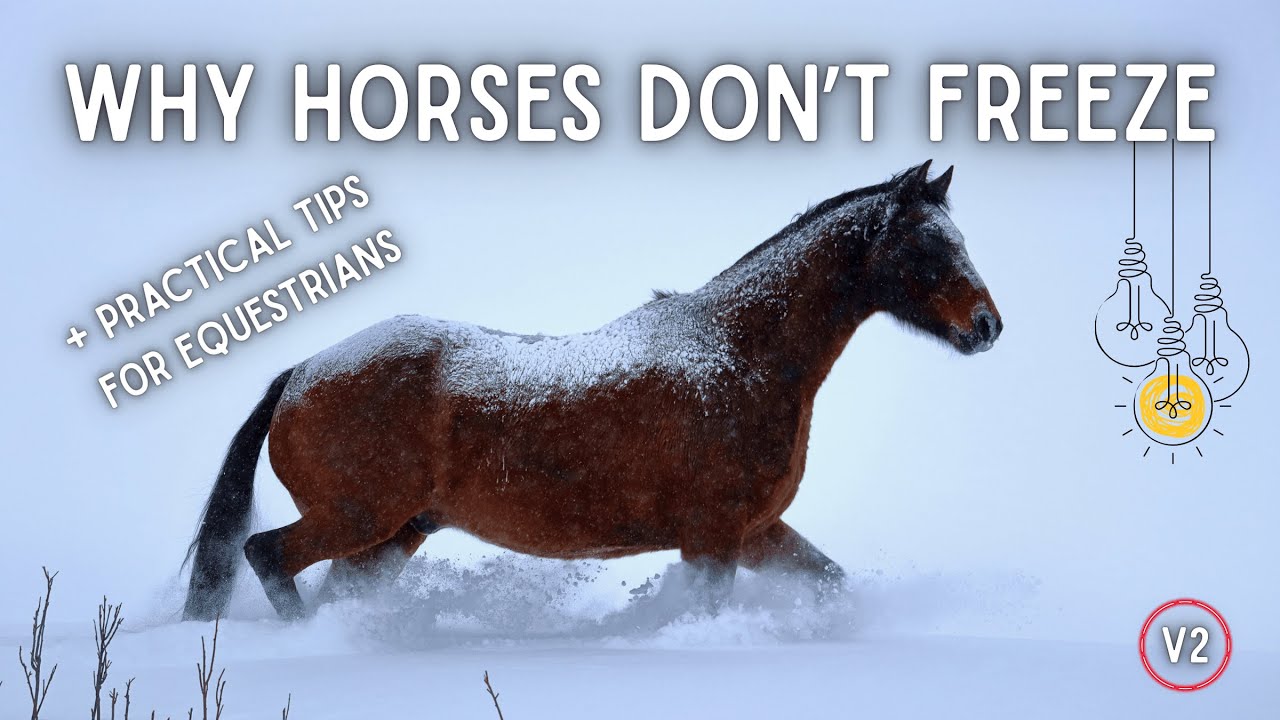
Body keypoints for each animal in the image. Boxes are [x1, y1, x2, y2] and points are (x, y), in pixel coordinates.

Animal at [181, 160, 1002, 621]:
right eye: (926, 247)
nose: (987, 325)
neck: (742, 357)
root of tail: (300, 374)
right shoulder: (713, 538)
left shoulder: (757, 532)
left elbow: (832, 583)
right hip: (356, 519)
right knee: (264, 554)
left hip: (392, 536)